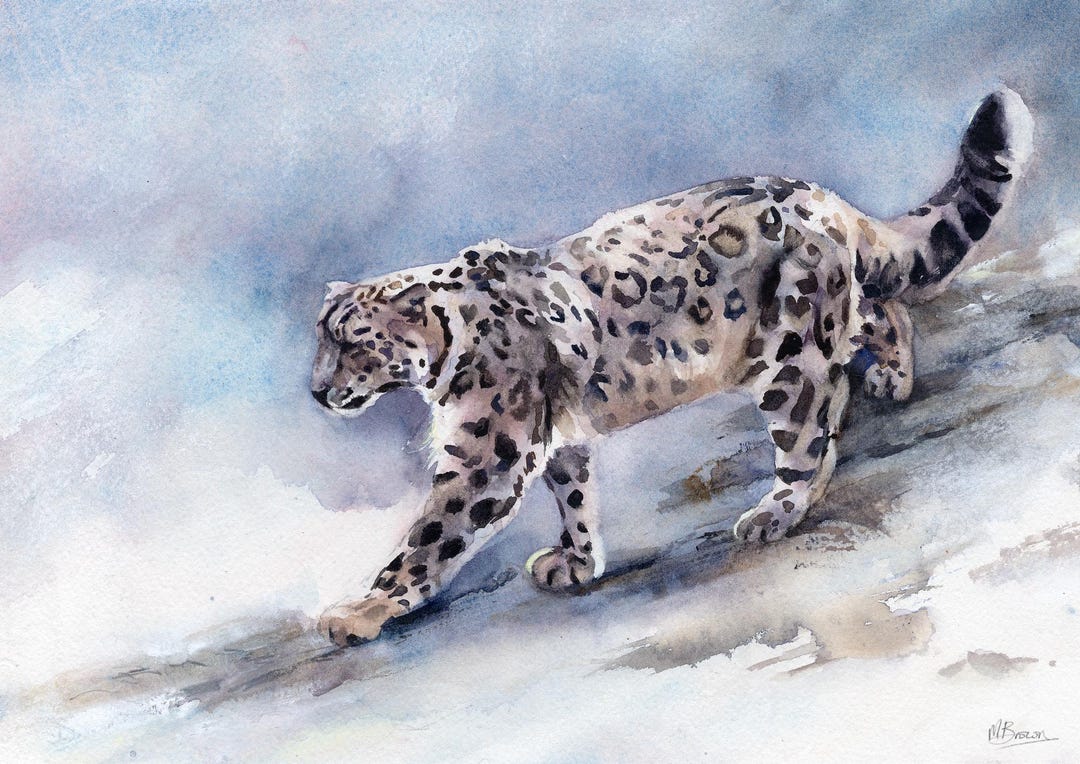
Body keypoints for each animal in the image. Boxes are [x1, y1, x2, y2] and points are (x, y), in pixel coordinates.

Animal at [311, 88, 1033, 646]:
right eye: (320, 337)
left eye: (352, 343)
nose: (316, 390)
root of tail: (824, 199)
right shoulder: (555, 437)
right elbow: (574, 494)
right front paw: (577, 561)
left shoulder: (489, 453)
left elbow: (430, 536)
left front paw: (361, 611)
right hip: (827, 324)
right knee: (883, 312)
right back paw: (893, 379)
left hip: (789, 364)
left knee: (810, 440)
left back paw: (773, 514)